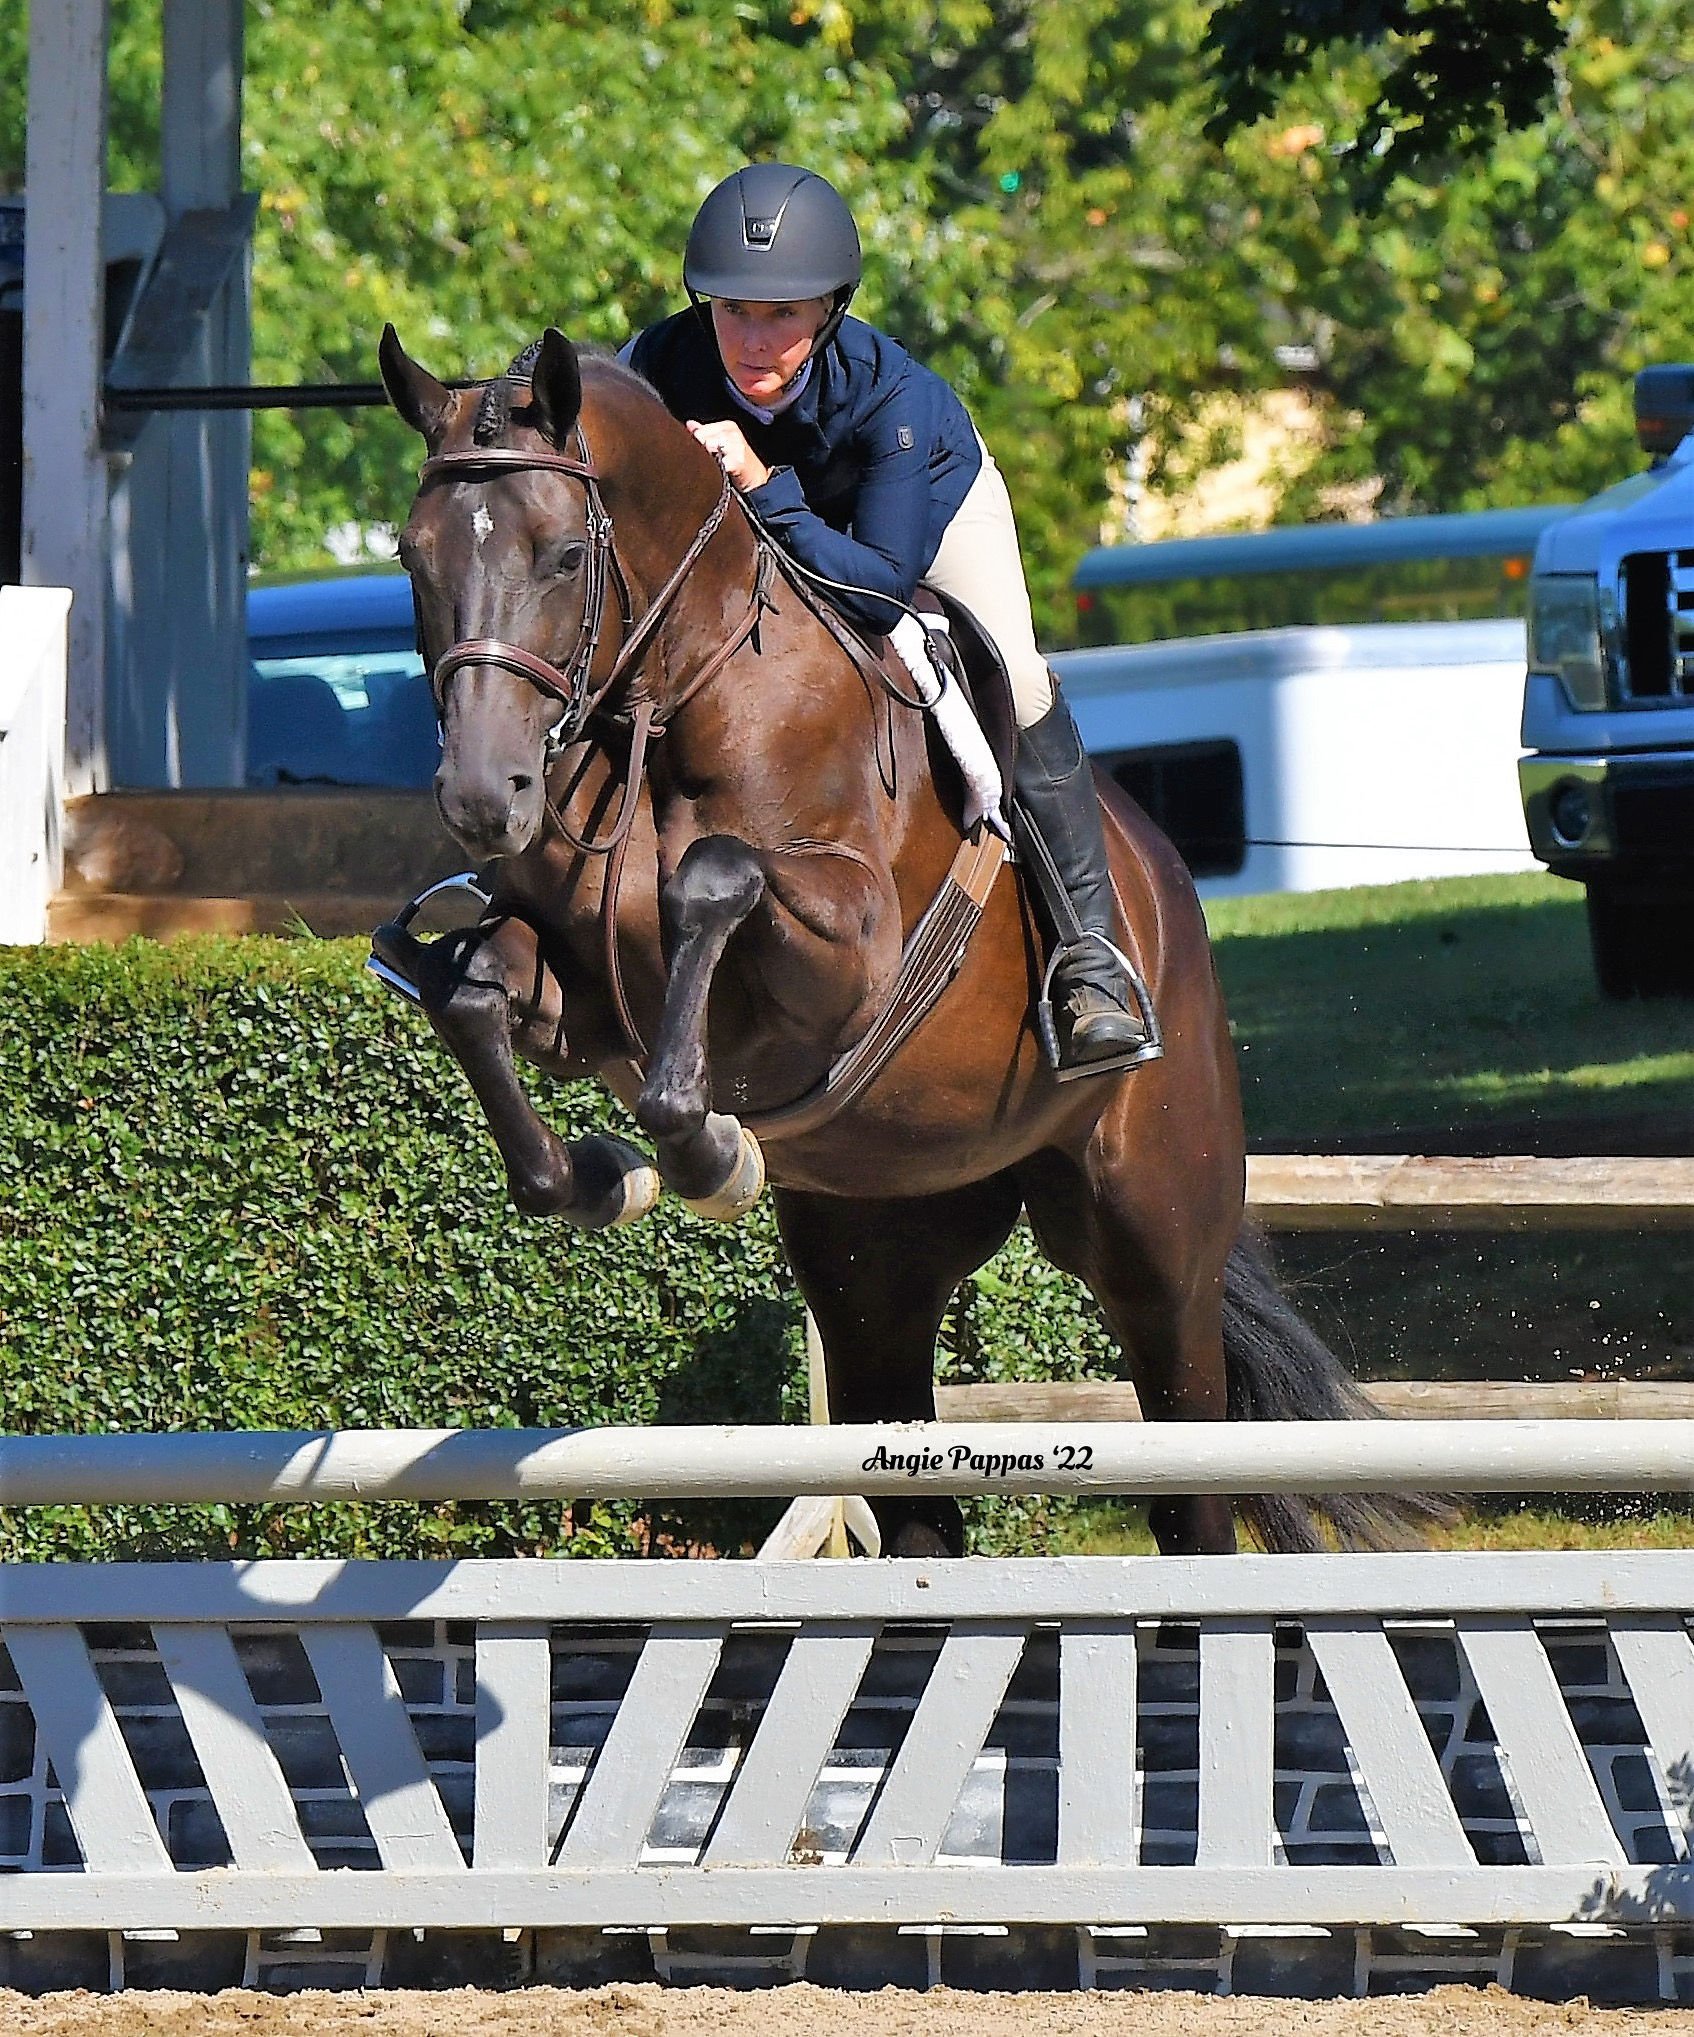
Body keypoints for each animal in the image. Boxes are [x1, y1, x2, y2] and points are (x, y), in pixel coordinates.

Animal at [375, 323, 1429, 1561]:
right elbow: (476, 990)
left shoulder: (850, 960)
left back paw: (1095, 1002)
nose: (483, 800)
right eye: (413, 558)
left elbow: (712, 879)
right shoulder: (577, 989)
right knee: (917, 1500)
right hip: (877, 1255)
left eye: (557, 556)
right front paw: (588, 1175)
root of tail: (1166, 899)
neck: (670, 698)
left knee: (1189, 1483)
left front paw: (703, 1148)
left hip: (1153, 1236)